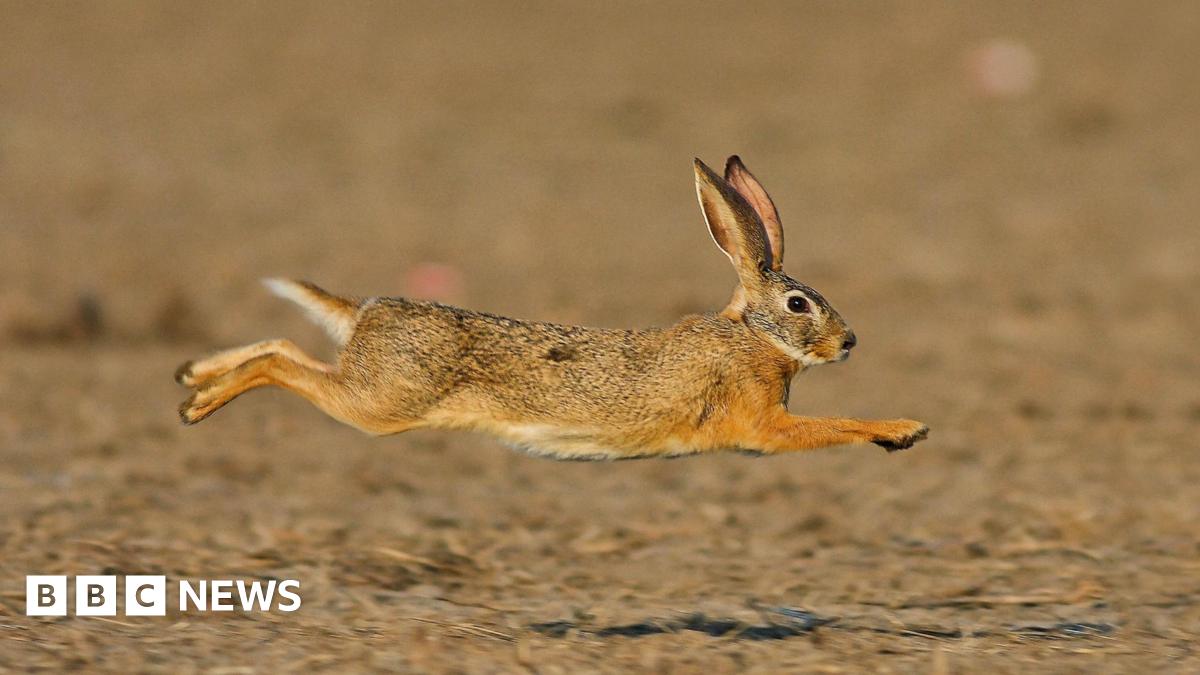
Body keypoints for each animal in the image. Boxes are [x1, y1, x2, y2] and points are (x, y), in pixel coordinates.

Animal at [176, 156, 928, 459]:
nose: (850, 342)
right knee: (283, 365)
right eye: (799, 303)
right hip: (379, 405)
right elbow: (831, 424)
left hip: (370, 391)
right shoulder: (762, 425)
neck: (751, 337)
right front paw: (906, 429)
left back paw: (191, 378)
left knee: (284, 348)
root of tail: (368, 310)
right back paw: (197, 406)